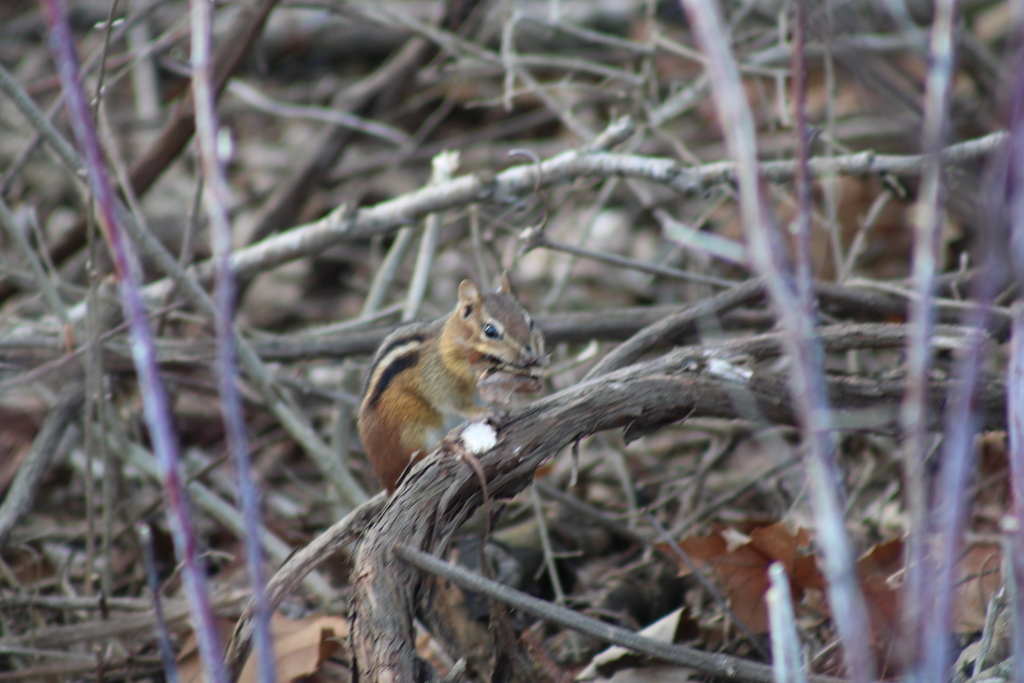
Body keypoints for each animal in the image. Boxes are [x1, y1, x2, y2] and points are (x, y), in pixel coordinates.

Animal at [357, 274, 546, 493]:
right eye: (490, 331)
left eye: (530, 322)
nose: (530, 356)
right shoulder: (438, 379)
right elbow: (454, 403)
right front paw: (482, 412)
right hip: (409, 424)